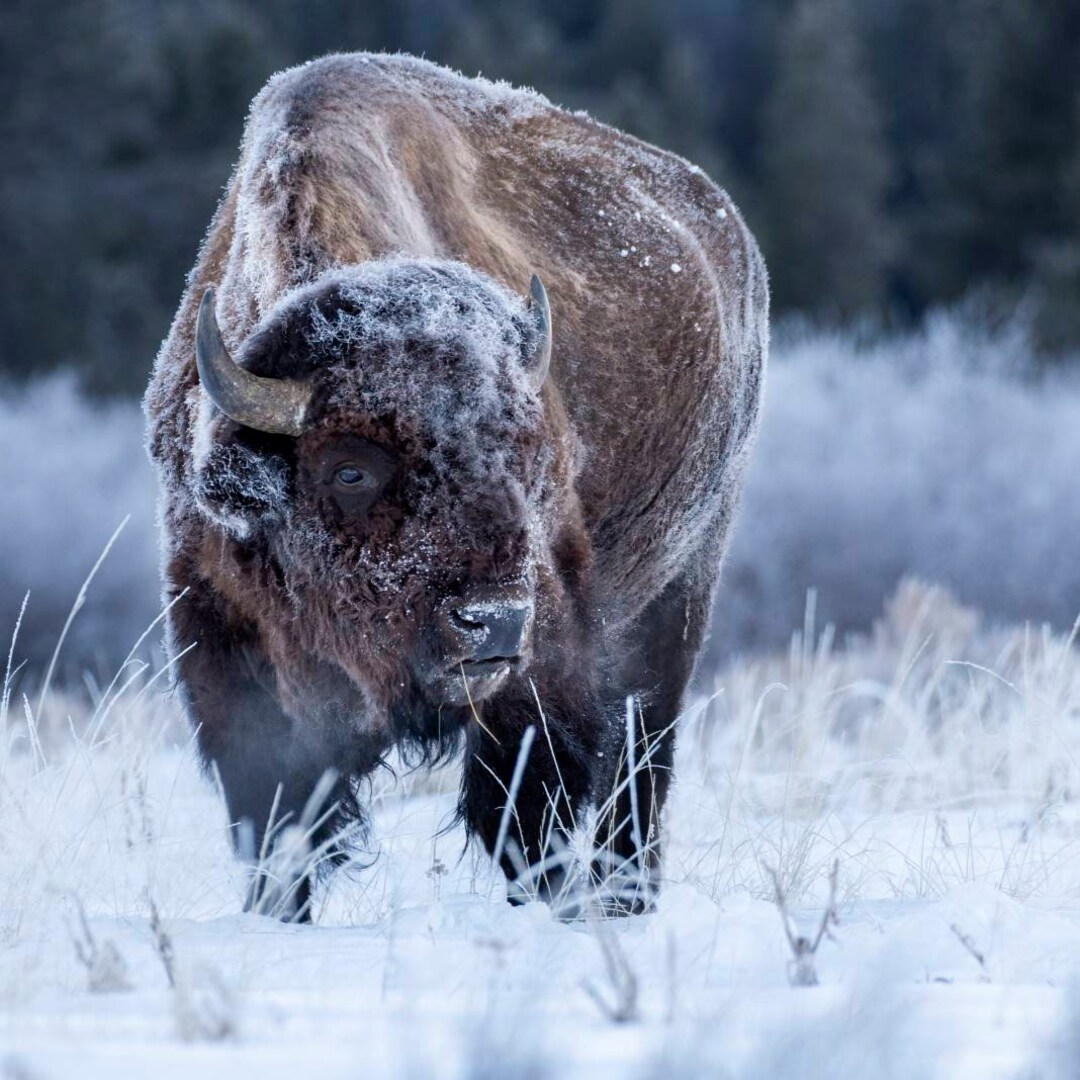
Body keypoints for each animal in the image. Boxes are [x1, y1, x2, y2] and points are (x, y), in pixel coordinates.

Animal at [145, 53, 767, 920]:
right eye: (350, 469)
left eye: (526, 459)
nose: (492, 621)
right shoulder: (226, 649)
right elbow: (278, 827)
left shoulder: (540, 671)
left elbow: (527, 812)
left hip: (678, 591)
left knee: (641, 764)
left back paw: (627, 900)